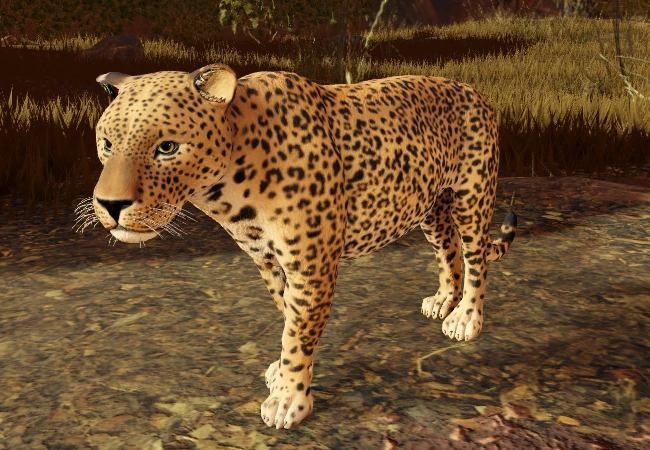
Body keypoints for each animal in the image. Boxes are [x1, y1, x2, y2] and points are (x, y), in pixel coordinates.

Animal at [79, 63, 517, 430]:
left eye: (167, 147)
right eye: (107, 143)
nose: (110, 205)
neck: (230, 186)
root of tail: (473, 89)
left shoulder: (312, 265)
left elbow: (299, 330)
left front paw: (289, 399)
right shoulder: (267, 260)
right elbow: (287, 313)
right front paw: (283, 373)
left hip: (472, 196)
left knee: (476, 259)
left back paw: (465, 318)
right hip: (429, 204)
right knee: (447, 250)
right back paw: (444, 300)